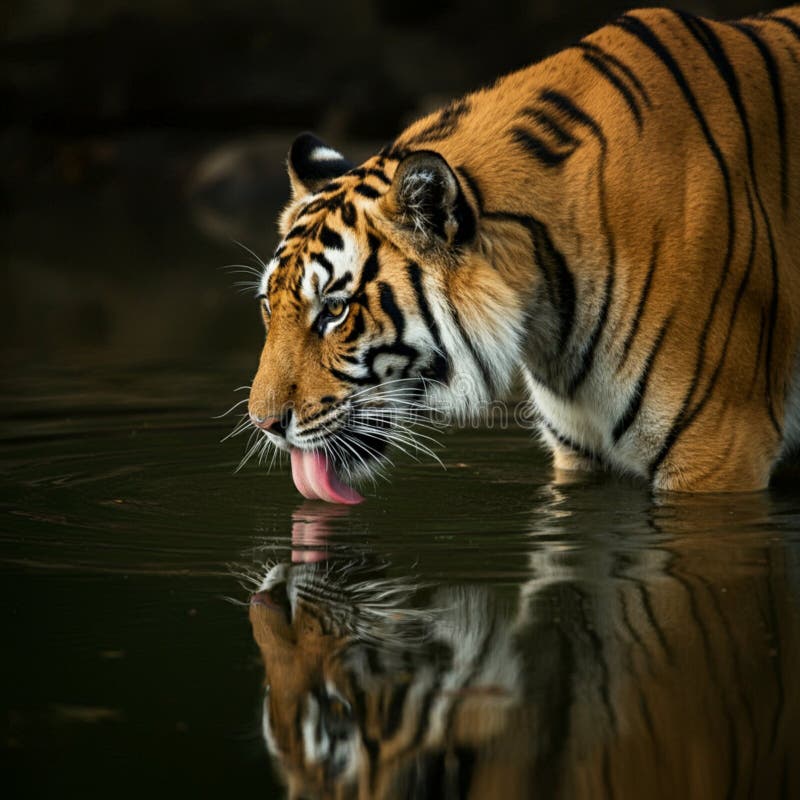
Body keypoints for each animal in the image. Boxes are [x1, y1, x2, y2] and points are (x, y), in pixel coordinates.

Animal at [245, 6, 800, 499]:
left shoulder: (717, 450)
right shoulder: (582, 455)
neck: (549, 319)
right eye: (269, 306)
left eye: (335, 311)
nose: (265, 424)